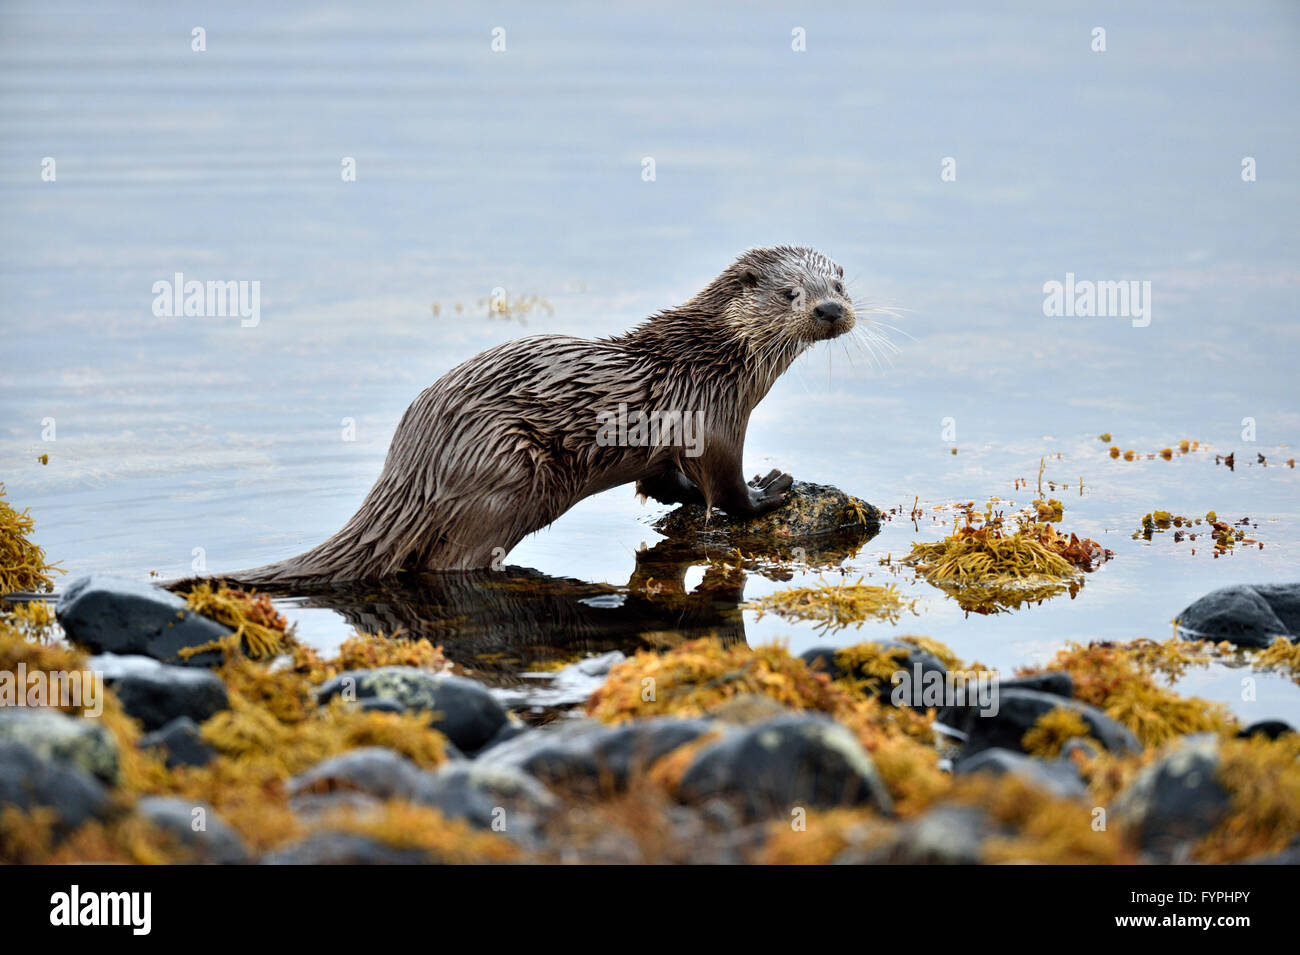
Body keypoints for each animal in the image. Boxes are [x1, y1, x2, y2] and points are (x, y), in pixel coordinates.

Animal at [231, 246, 857, 585]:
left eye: (839, 282)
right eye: (791, 293)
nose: (831, 309)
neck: (714, 360)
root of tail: (411, 466)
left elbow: (661, 483)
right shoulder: (716, 419)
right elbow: (726, 490)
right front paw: (770, 488)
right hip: (504, 475)